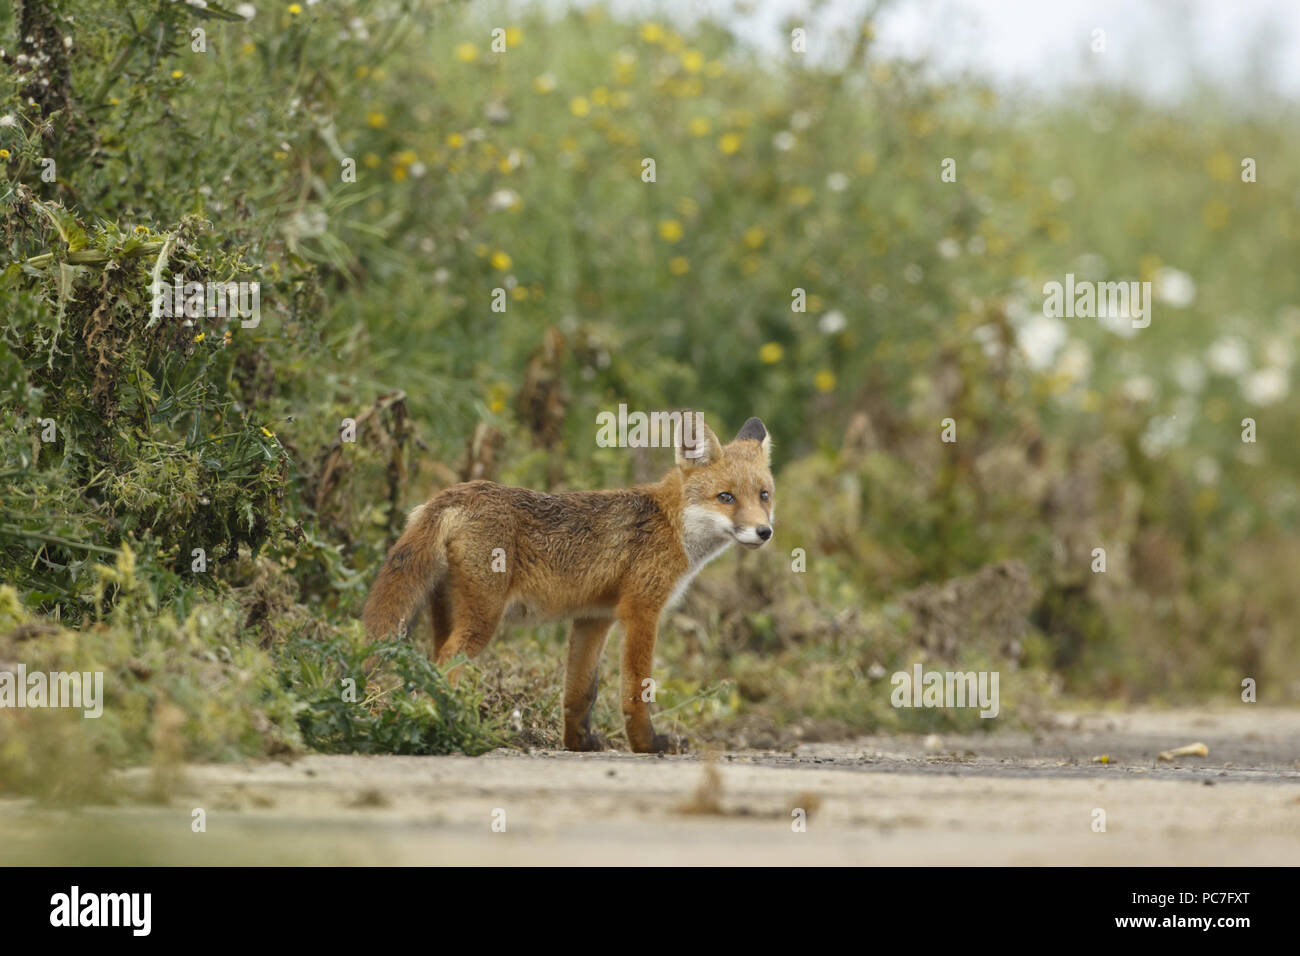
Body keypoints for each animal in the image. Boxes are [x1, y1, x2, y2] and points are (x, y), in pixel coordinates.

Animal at [361, 413, 774, 754]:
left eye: (764, 495)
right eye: (726, 497)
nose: (764, 532)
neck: (670, 524)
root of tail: (449, 494)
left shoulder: (594, 618)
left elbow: (581, 693)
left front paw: (579, 743)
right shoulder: (641, 611)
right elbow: (636, 691)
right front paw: (648, 744)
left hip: (445, 615)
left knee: (431, 667)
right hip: (482, 620)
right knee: (448, 662)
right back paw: (445, 728)